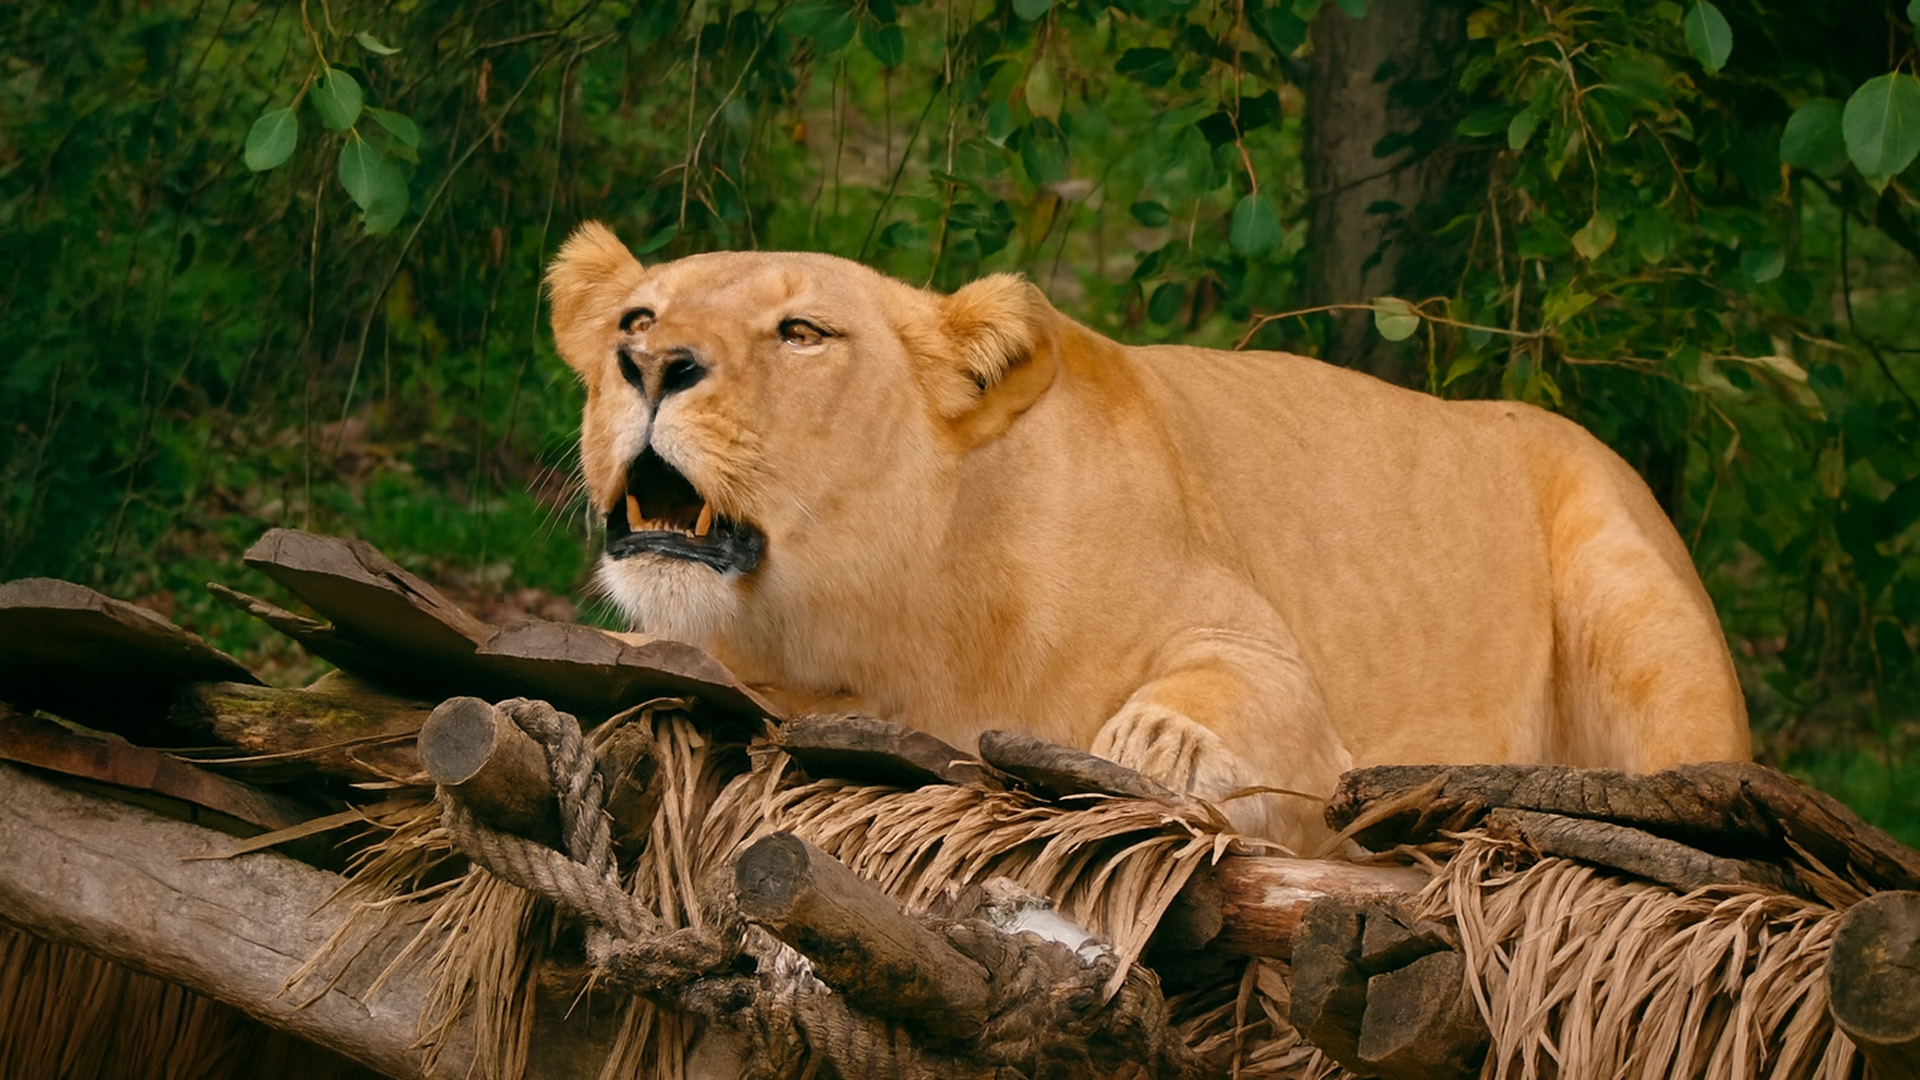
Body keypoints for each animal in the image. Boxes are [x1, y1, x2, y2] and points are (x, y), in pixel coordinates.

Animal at [545, 221, 1750, 851]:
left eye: (801, 333)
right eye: (637, 319)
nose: (650, 366)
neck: (900, 639)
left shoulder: (1264, 663)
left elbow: (1233, 691)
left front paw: (1156, 746)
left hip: (1636, 586)